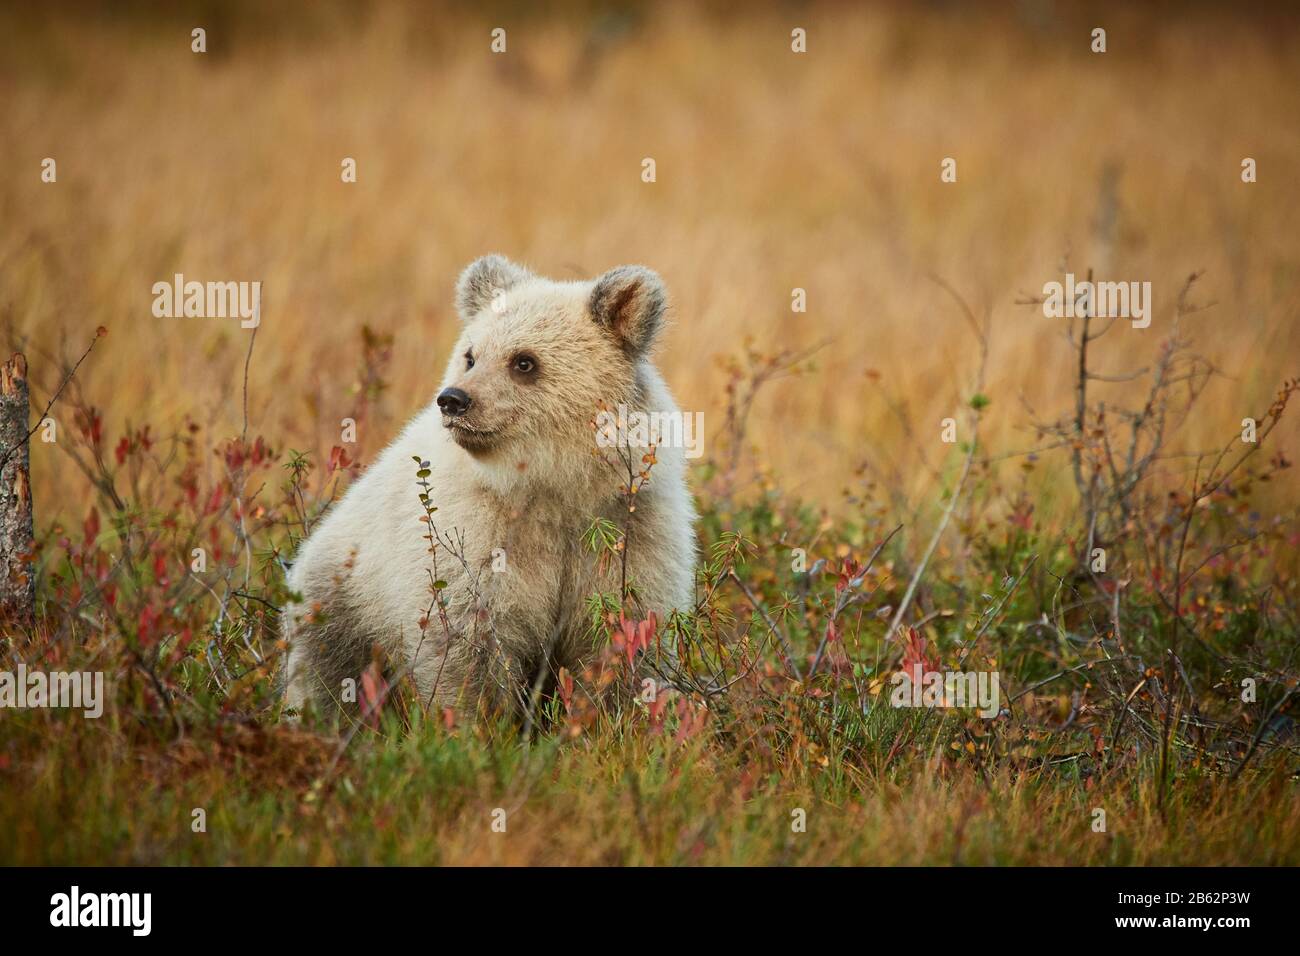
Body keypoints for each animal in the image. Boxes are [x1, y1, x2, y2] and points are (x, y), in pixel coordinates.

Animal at [282, 255, 698, 721]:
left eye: (524, 361)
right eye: (470, 355)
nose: (453, 400)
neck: (555, 491)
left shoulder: (628, 531)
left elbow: (624, 635)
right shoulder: (474, 539)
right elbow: (468, 647)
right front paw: (478, 724)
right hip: (344, 598)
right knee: (330, 672)